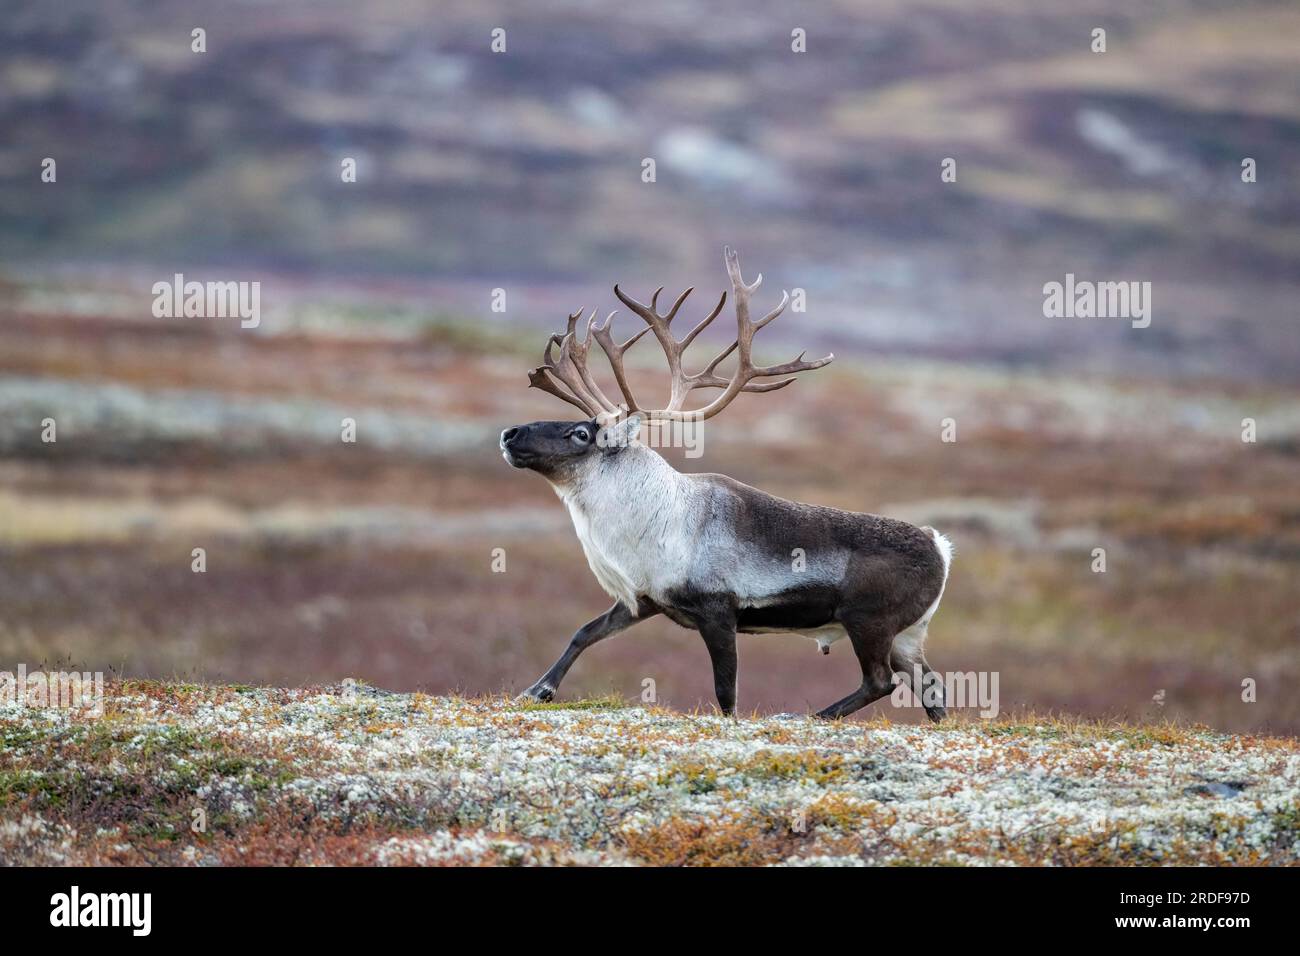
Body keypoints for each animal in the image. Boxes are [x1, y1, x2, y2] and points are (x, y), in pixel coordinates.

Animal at [500, 247, 953, 721]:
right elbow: (583, 632)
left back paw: (812, 715)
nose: (509, 434)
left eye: (580, 434)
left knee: (880, 680)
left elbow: (726, 693)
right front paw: (537, 689)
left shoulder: (719, 612)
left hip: (869, 621)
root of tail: (938, 544)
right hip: (906, 636)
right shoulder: (643, 600)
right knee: (931, 686)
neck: (655, 517)